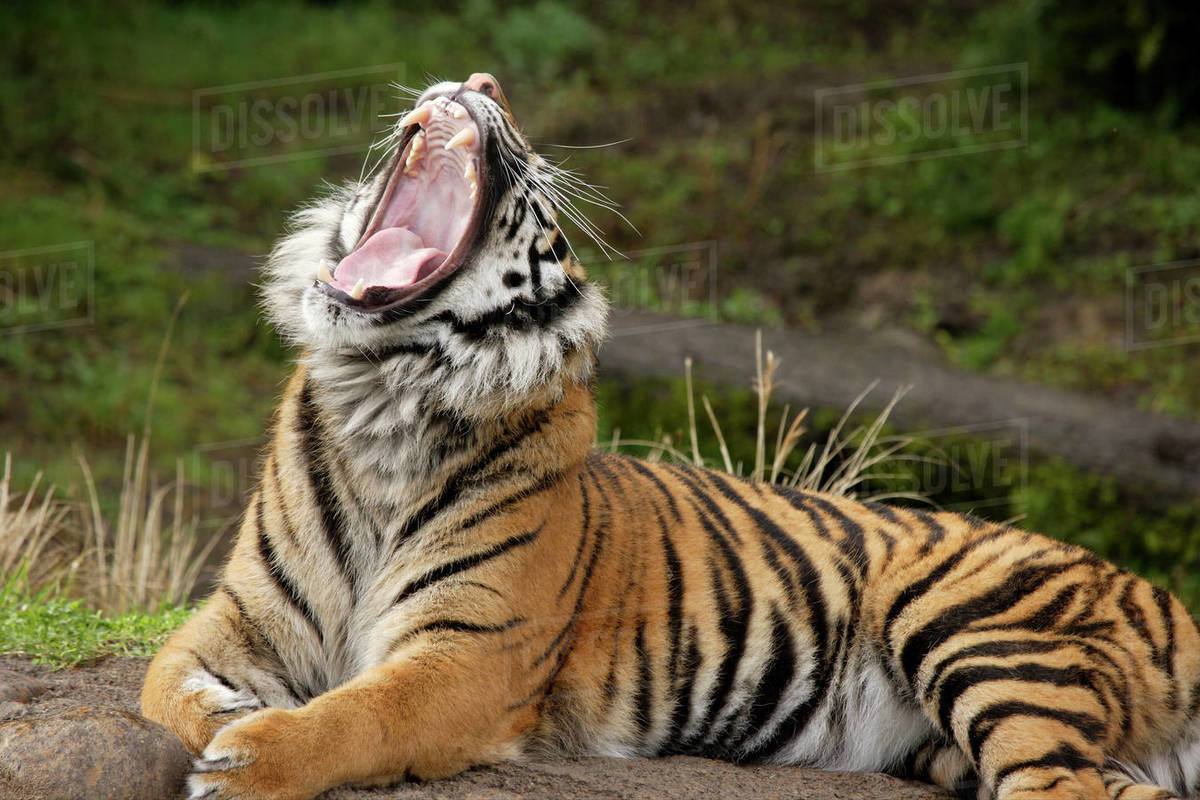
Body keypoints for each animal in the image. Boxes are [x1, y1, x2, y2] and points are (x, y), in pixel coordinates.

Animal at [141, 72, 1200, 800]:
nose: (482, 81)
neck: (383, 396)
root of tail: (1167, 599)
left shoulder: (470, 655)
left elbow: (361, 713)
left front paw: (252, 757)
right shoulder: (235, 618)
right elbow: (164, 686)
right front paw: (228, 717)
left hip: (969, 620)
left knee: (1059, 786)